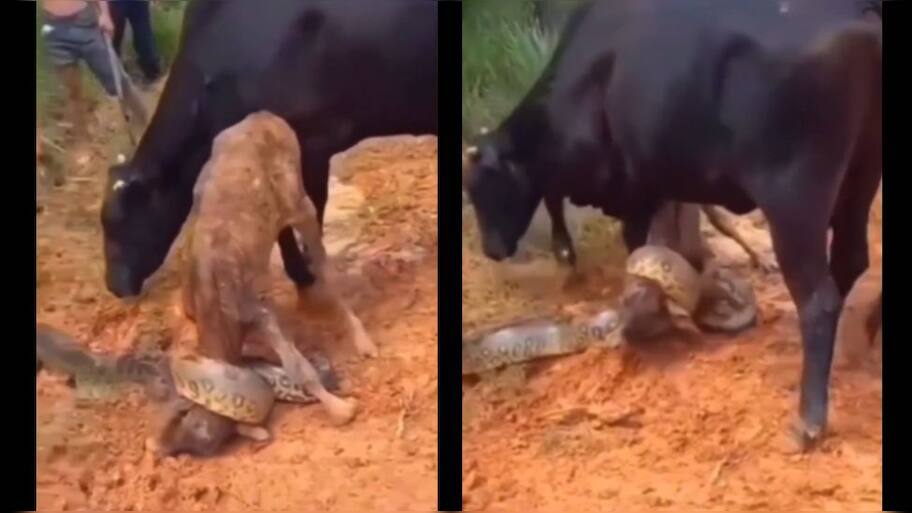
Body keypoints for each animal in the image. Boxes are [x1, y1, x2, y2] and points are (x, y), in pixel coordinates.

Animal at [463, 0, 882, 450]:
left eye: (484, 186)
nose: (492, 249)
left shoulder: (630, 188)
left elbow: (632, 242)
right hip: (861, 175)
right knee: (850, 261)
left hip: (794, 197)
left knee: (818, 299)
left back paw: (809, 421)